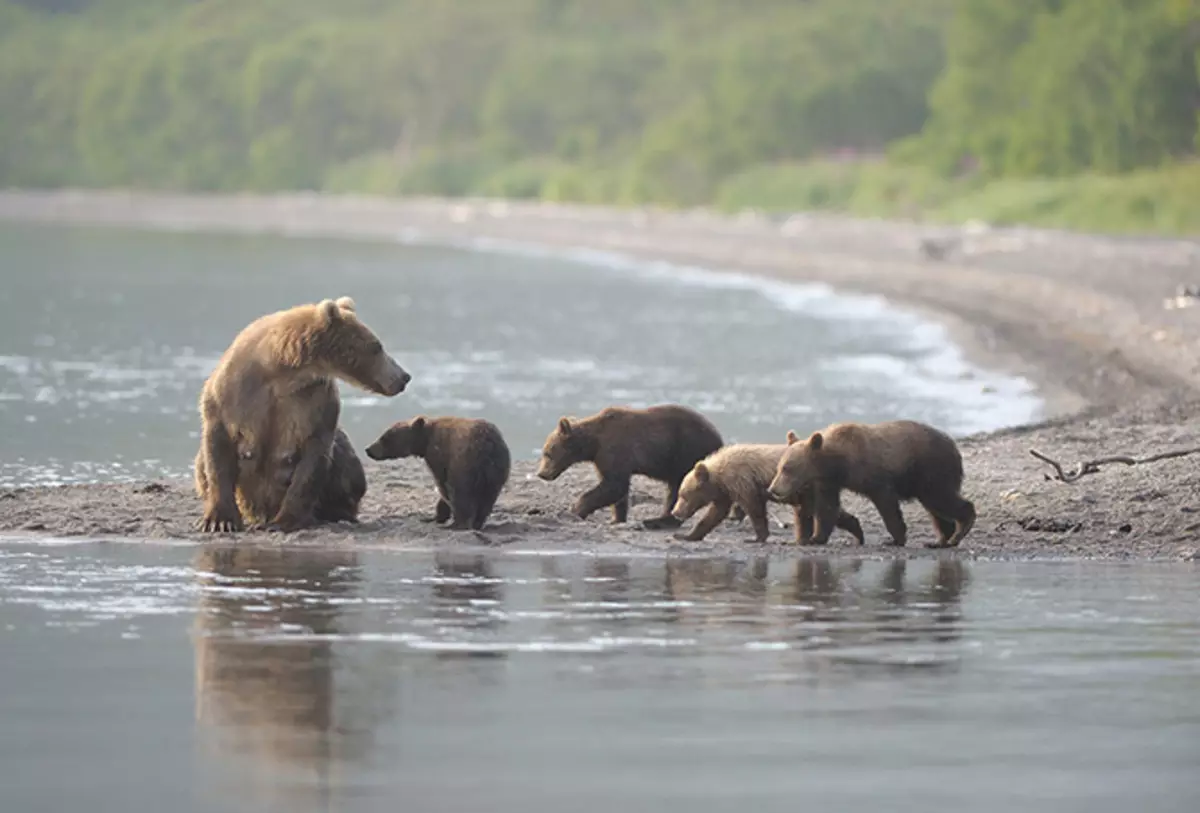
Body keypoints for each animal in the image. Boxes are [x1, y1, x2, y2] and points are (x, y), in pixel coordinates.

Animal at [192, 294, 408, 534]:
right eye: (377, 346)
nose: (404, 376)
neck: (284, 372)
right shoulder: (234, 394)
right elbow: (217, 450)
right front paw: (220, 520)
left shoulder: (315, 402)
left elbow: (312, 458)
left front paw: (284, 521)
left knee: (347, 464)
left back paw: (336, 514)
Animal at [362, 417, 508, 532]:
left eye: (385, 437)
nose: (368, 449)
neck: (425, 440)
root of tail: (488, 446)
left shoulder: (438, 455)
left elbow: (442, 484)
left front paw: (438, 515)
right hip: (495, 473)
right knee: (487, 499)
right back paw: (477, 522)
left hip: (467, 464)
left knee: (461, 493)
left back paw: (458, 524)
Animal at [540, 405, 724, 532]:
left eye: (547, 453)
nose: (541, 474)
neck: (593, 443)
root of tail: (719, 440)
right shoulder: (605, 459)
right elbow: (616, 489)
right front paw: (616, 519)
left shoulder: (614, 449)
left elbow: (614, 485)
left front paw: (576, 510)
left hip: (687, 453)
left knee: (679, 489)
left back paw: (657, 521)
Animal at [667, 446, 864, 546]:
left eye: (684, 495)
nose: (675, 512)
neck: (721, 476)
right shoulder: (726, 491)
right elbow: (714, 514)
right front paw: (686, 535)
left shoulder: (743, 481)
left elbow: (754, 508)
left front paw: (756, 537)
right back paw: (857, 532)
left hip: (811, 487)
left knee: (822, 509)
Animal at [768, 424, 974, 551]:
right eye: (779, 467)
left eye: (787, 468)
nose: (773, 489)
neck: (838, 461)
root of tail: (954, 447)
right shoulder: (829, 481)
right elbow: (827, 508)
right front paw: (816, 538)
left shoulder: (875, 475)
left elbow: (888, 505)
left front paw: (894, 539)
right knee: (936, 508)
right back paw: (940, 541)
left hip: (931, 470)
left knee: (941, 499)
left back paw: (959, 531)